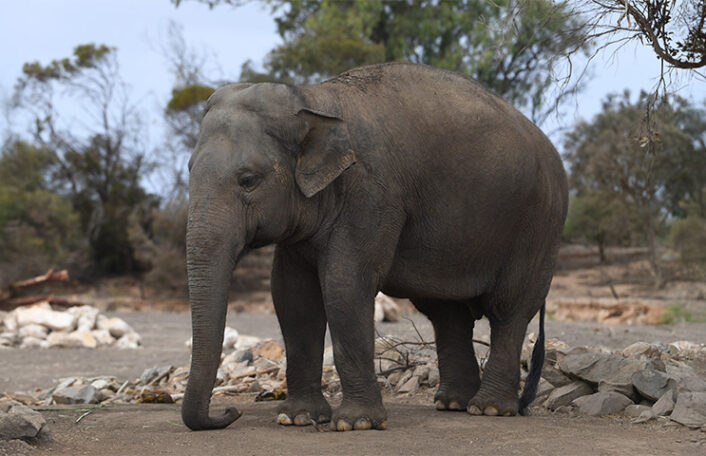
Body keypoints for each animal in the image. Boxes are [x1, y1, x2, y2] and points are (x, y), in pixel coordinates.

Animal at [182, 63, 568, 432]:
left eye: (248, 180)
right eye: (188, 169)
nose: (229, 412)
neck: (315, 99)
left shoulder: (372, 194)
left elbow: (344, 285)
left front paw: (355, 424)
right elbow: (292, 294)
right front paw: (297, 418)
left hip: (539, 225)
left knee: (509, 308)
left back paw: (488, 408)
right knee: (446, 312)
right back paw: (453, 403)